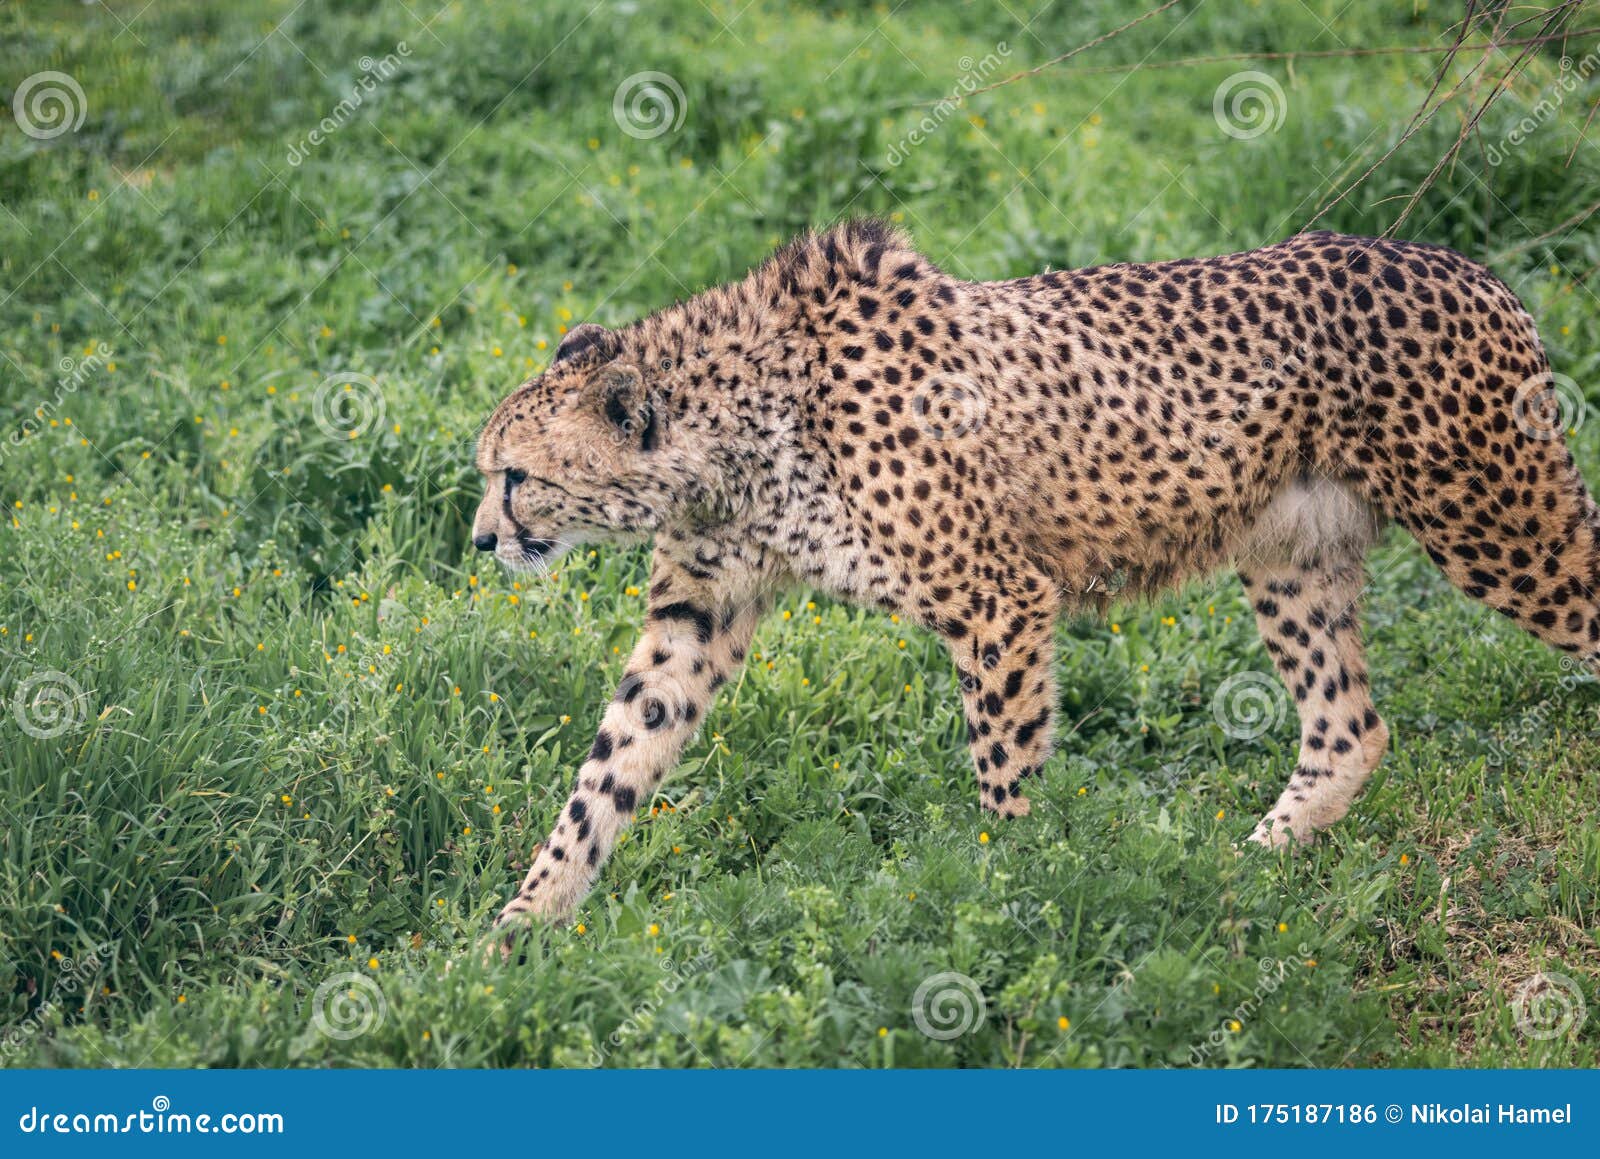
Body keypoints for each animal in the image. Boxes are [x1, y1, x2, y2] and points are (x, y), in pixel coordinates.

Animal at [471, 220, 1599, 942]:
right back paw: (1252, 861)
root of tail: (1467, 265)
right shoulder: (696, 613)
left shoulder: (996, 597)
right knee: (1348, 727)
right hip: (1292, 555)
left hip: (1496, 521)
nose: (482, 540)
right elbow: (608, 768)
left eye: (515, 475)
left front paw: (1004, 891)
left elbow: (1002, 764)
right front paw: (519, 926)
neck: (734, 429)